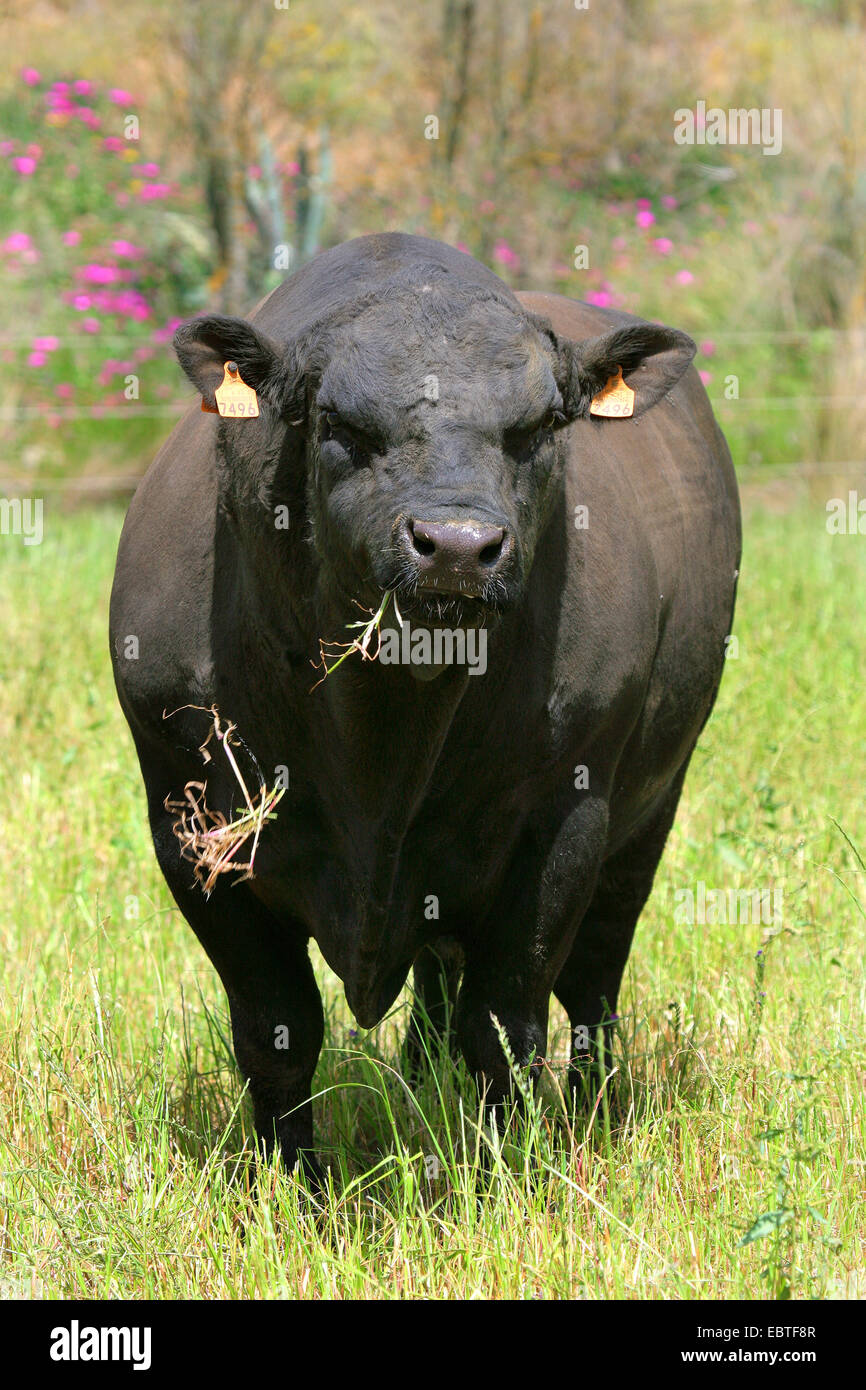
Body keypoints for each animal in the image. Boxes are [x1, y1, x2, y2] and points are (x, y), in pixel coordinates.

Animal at [110, 232, 741, 1180]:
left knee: (593, 980)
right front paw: (293, 1185)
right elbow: (276, 1030)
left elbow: (506, 1025)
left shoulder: (565, 821)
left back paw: (591, 1109)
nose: (456, 547)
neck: (380, 749)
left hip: (649, 808)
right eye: (340, 424)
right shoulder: (193, 828)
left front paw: (501, 1173)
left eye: (537, 428)